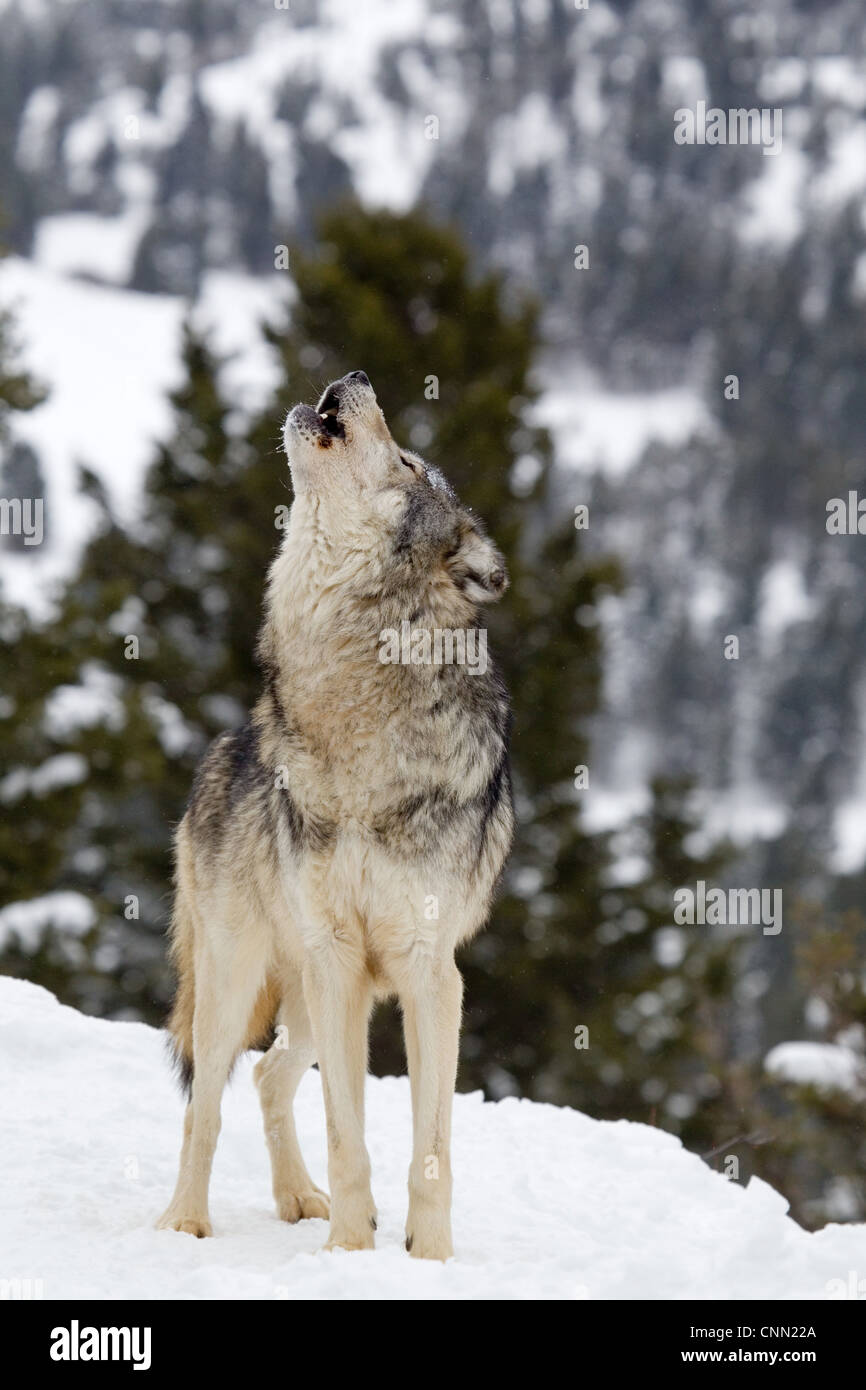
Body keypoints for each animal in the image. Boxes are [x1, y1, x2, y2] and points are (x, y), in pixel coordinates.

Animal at [157, 370, 513, 1260]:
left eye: (411, 461)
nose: (352, 378)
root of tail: (226, 745)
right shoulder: (339, 961)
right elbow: (348, 1136)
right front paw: (351, 1252)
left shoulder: (428, 973)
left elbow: (431, 1149)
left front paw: (429, 1259)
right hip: (244, 979)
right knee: (205, 1104)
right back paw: (185, 1222)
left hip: (315, 999)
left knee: (266, 1075)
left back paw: (295, 1198)